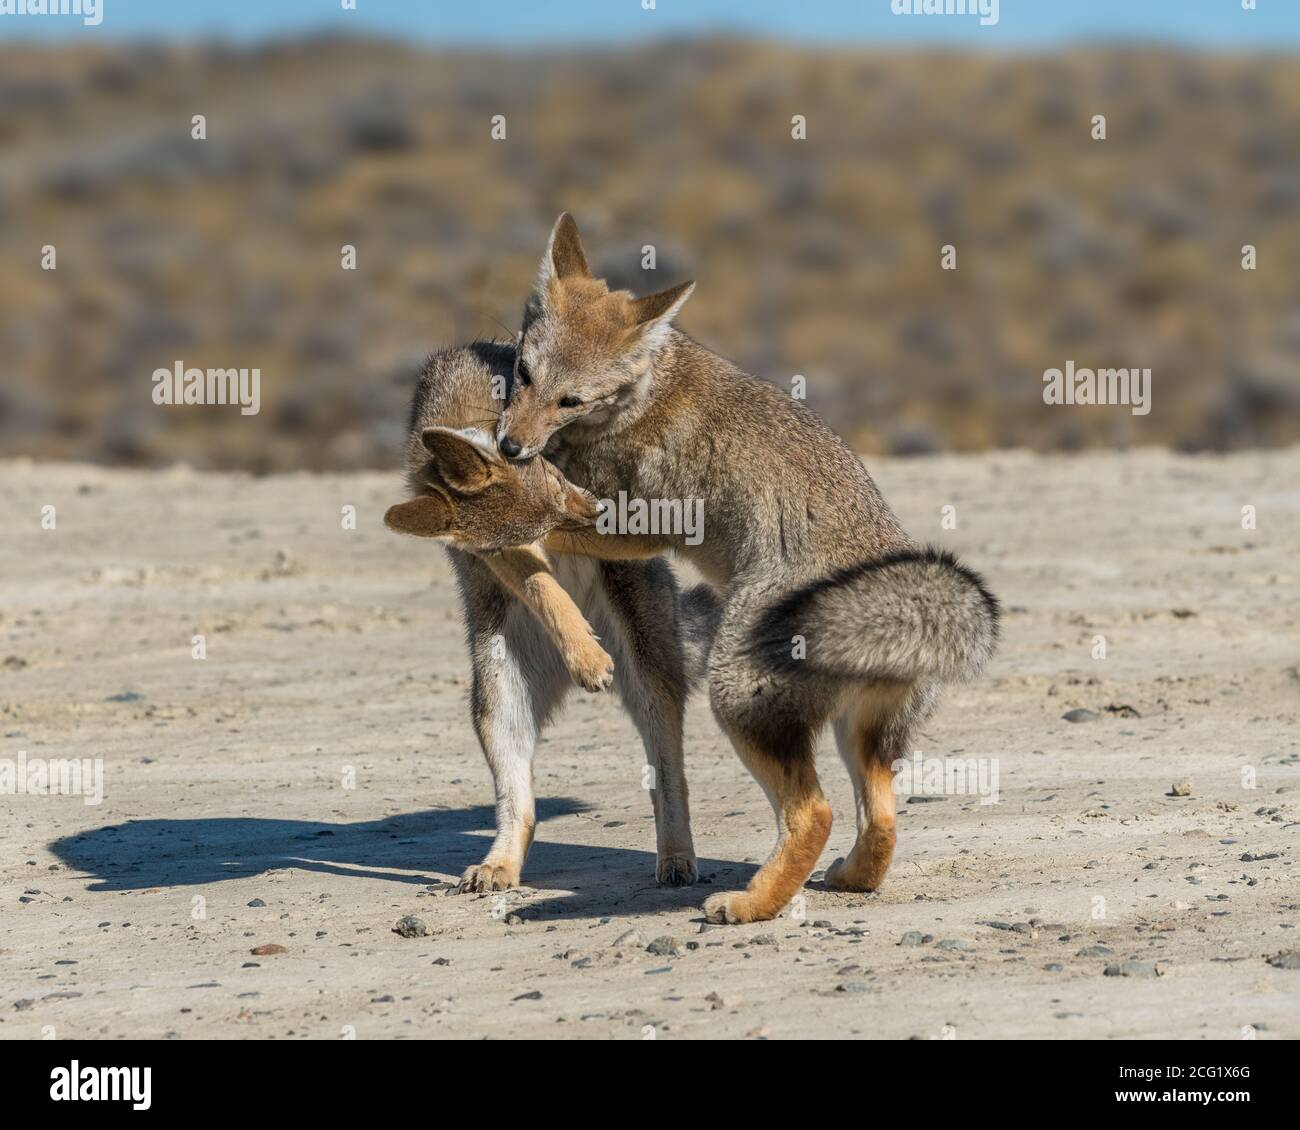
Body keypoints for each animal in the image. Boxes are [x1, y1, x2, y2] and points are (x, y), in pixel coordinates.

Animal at [387, 342, 719, 892]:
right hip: (496, 704)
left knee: (670, 784)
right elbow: (543, 590)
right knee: (522, 812)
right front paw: (585, 656)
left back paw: (676, 857)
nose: (603, 515)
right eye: (548, 516)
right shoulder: (500, 552)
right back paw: (498, 865)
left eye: (559, 479)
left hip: (650, 686)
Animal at [495, 213, 1001, 924]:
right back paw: (849, 879)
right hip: (859, 737)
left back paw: (748, 905)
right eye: (523, 372)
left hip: (735, 701)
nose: (510, 444)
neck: (645, 396)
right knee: (879, 820)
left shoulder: (647, 525)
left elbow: (559, 523)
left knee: (813, 814)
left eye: (570, 399)